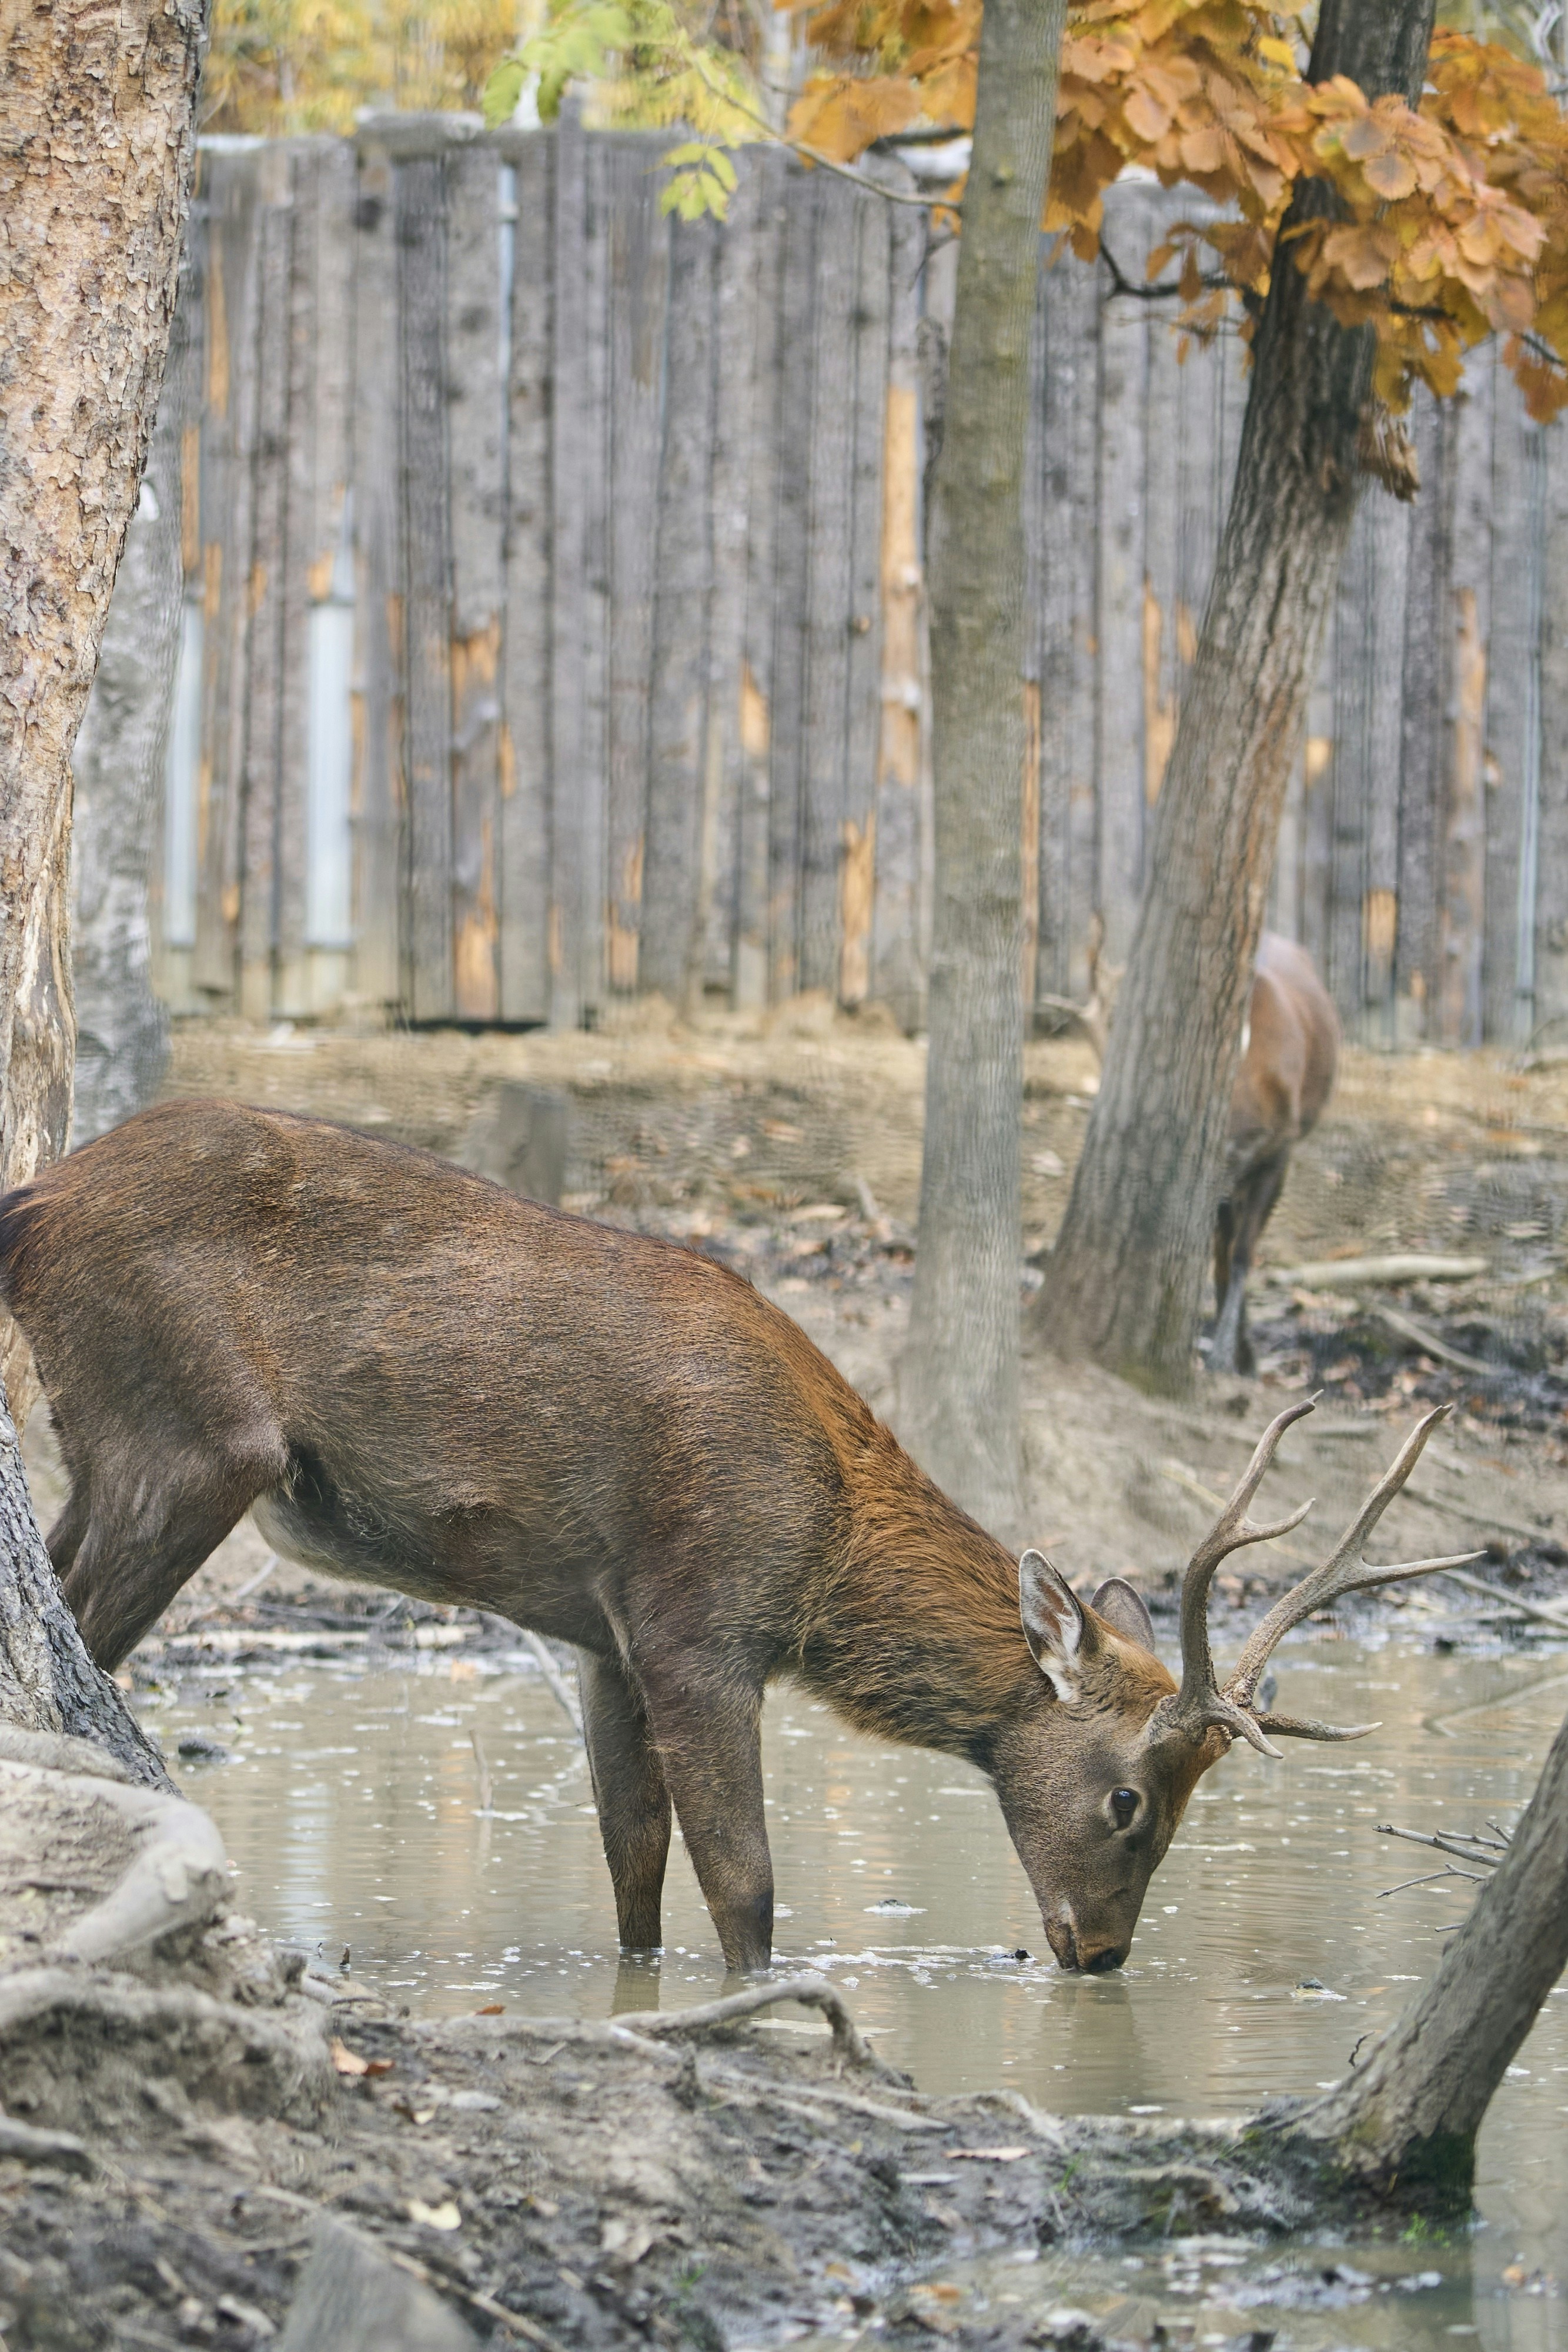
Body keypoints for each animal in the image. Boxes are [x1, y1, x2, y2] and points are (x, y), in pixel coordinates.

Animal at [0, 1101, 1469, 1974]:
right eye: (1128, 1799)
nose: (1101, 1952)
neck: (822, 1547)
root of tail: (35, 1202)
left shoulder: (601, 1634)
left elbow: (634, 1872)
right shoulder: (697, 1617)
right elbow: (748, 1886)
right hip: (189, 1432)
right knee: (83, 1631)